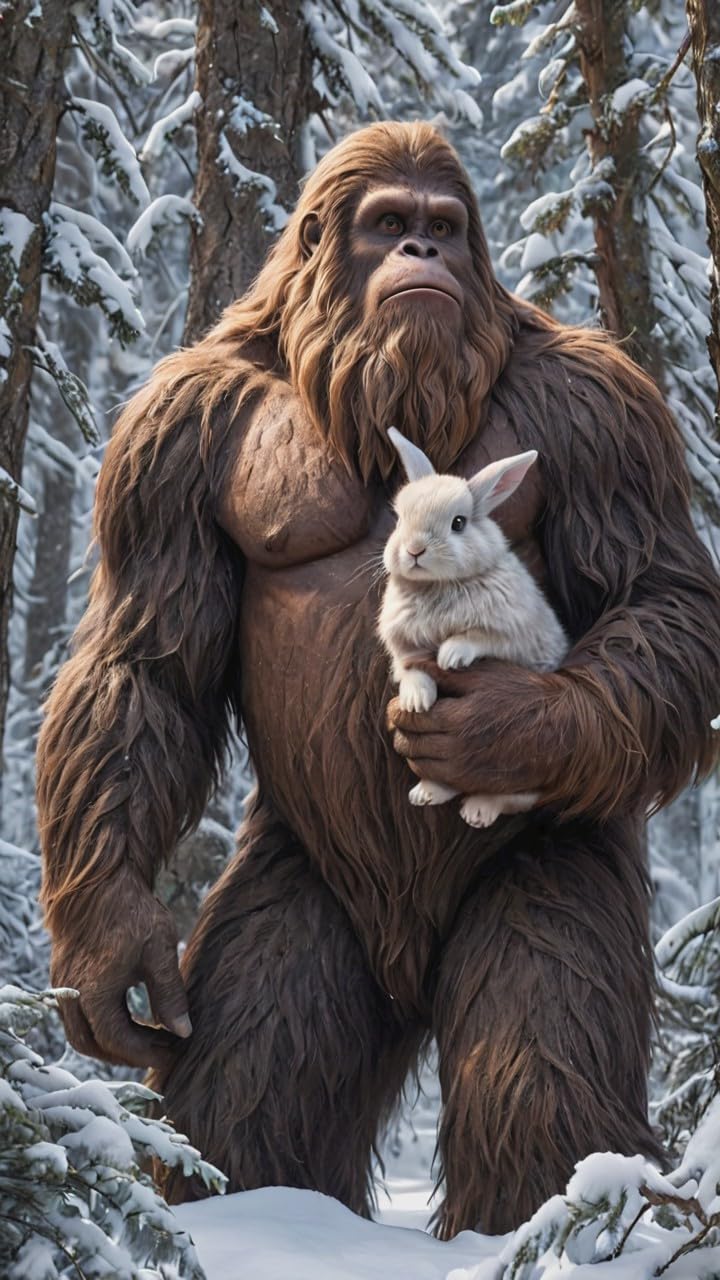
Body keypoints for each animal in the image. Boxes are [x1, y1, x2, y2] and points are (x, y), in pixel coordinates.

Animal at [378, 426, 569, 828]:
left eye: (459, 523)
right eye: (400, 519)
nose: (414, 550)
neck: (437, 586)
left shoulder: (514, 635)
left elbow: (478, 637)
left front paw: (451, 656)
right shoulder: (405, 650)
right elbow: (412, 672)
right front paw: (417, 702)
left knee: (507, 797)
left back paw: (477, 812)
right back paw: (425, 793)